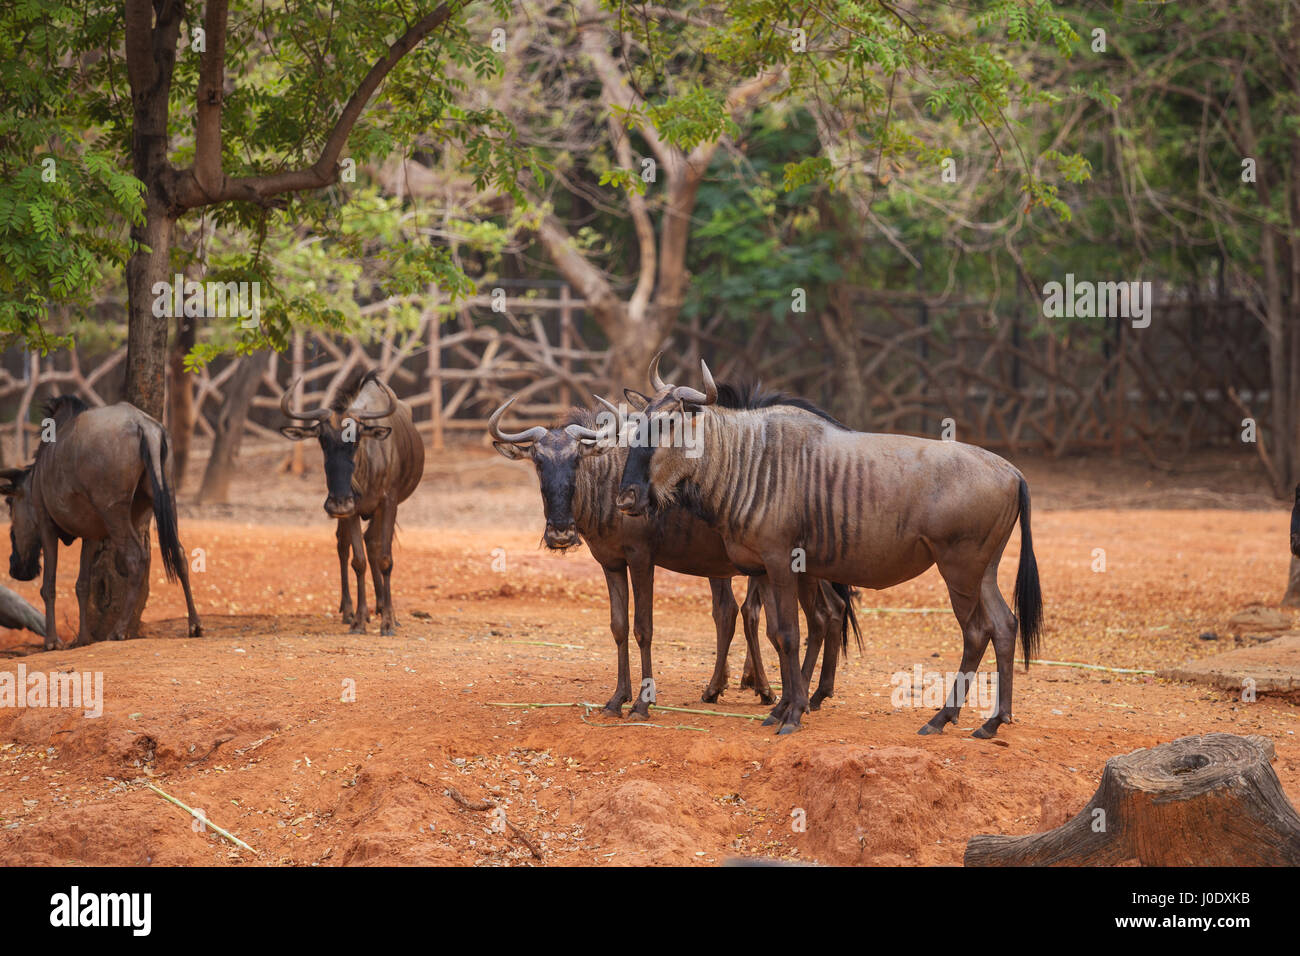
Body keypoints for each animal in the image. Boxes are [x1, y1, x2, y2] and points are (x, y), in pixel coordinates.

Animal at [279, 370, 424, 635]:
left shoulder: (388, 503)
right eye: (322, 440)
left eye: (355, 441)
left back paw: (383, 608)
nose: (338, 503)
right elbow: (358, 561)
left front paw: (389, 621)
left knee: (374, 543)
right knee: (344, 545)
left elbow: (385, 558)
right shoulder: (352, 510)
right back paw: (350, 610)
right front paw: (358, 619)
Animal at [617, 357, 1043, 737]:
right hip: (983, 572)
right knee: (1005, 625)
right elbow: (784, 631)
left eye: (668, 424)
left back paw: (941, 718)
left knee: (976, 632)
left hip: (959, 570)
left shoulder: (780, 563)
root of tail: (1013, 472)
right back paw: (992, 722)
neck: (747, 459)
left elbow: (789, 633)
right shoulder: (774, 569)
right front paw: (785, 706)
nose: (627, 498)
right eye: (638, 425)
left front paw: (791, 714)